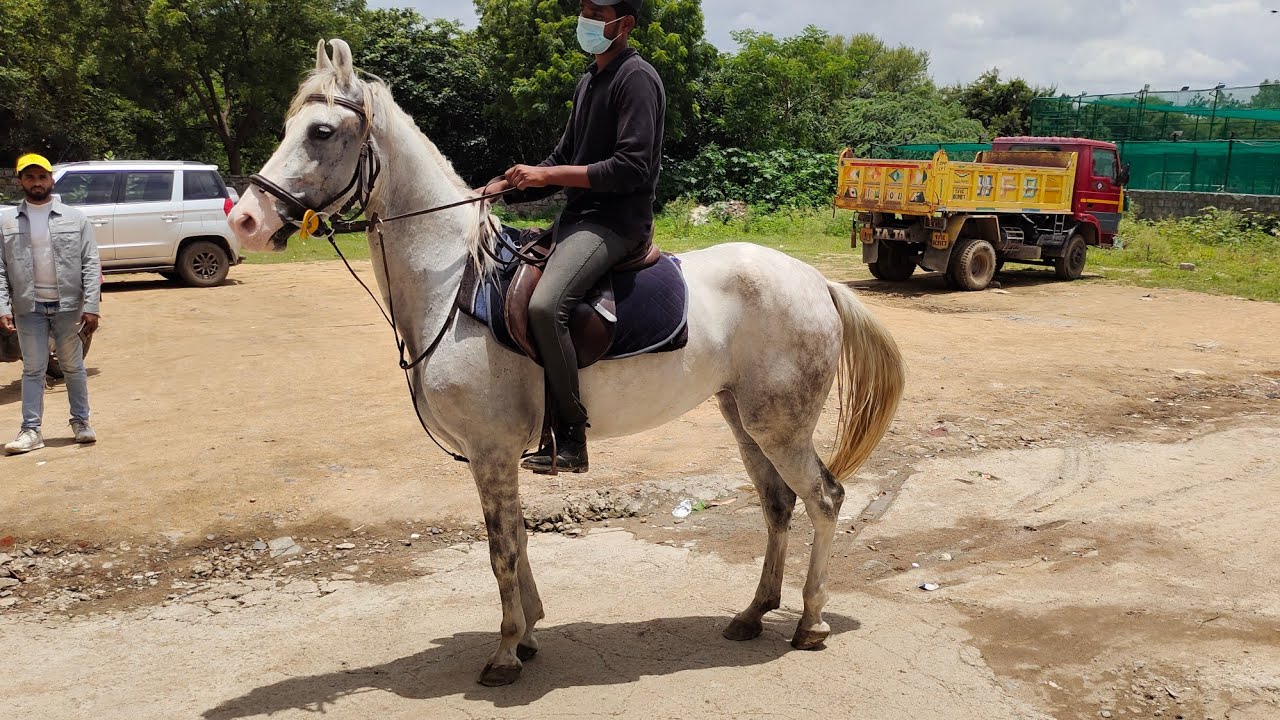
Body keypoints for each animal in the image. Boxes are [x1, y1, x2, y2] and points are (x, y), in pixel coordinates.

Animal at [228, 39, 906, 687]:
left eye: (321, 132)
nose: (247, 221)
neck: (454, 281)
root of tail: (817, 282)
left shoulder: (491, 450)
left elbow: (501, 548)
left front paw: (505, 651)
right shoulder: (496, 456)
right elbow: (518, 537)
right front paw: (528, 633)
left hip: (780, 426)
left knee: (825, 499)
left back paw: (811, 621)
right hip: (745, 421)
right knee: (778, 505)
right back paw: (754, 612)